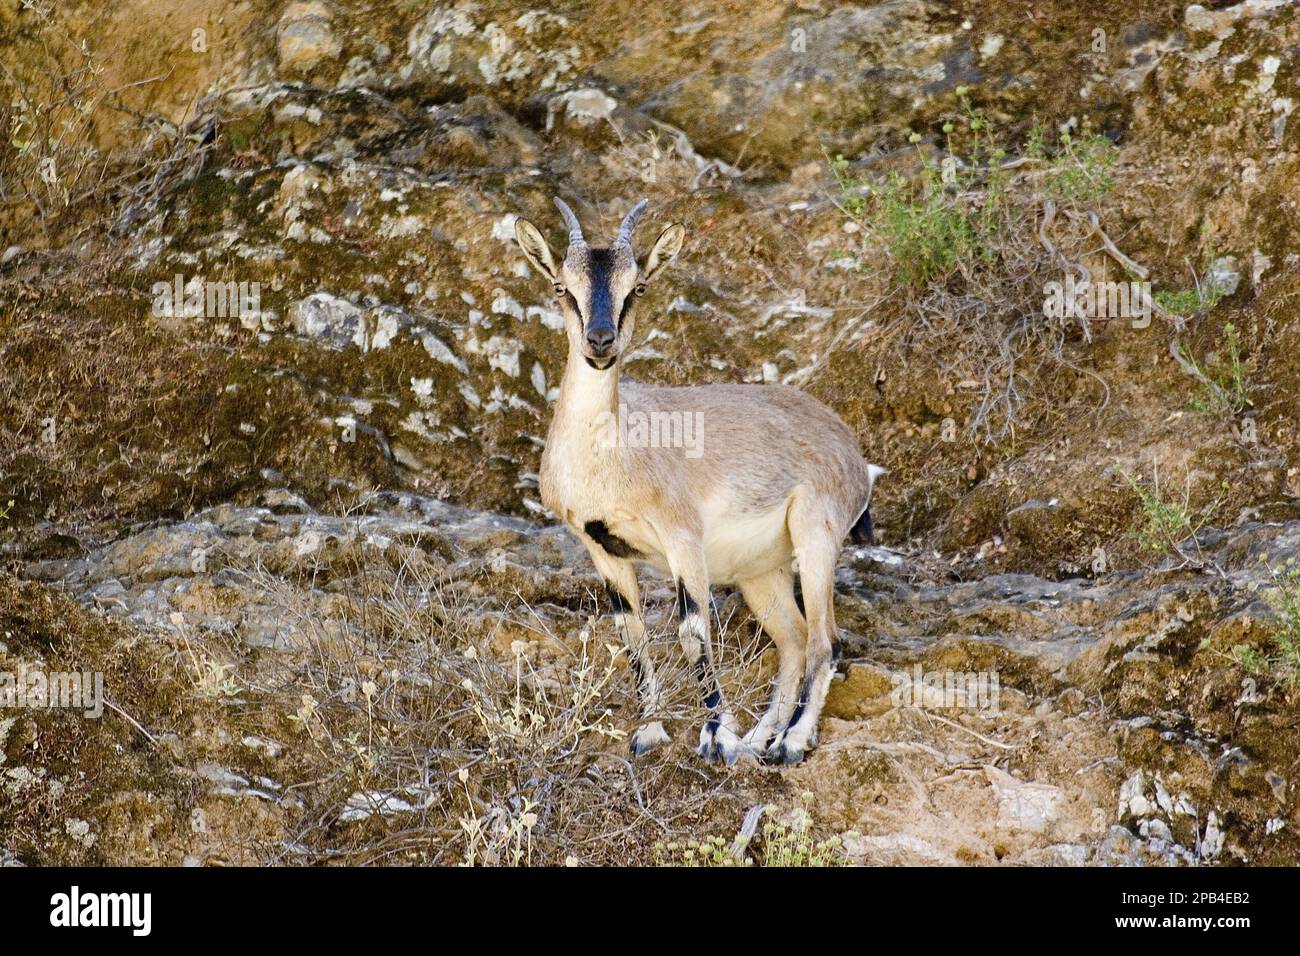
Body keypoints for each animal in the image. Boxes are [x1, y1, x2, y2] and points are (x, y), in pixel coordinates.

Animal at [514, 197, 885, 764]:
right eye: (561, 286)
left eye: (638, 287)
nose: (600, 342)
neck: (613, 454)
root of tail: (849, 448)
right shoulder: (604, 551)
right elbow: (633, 636)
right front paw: (649, 731)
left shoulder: (683, 540)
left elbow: (693, 633)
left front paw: (717, 734)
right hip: (761, 573)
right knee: (794, 640)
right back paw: (760, 739)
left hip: (816, 539)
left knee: (826, 641)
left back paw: (791, 742)